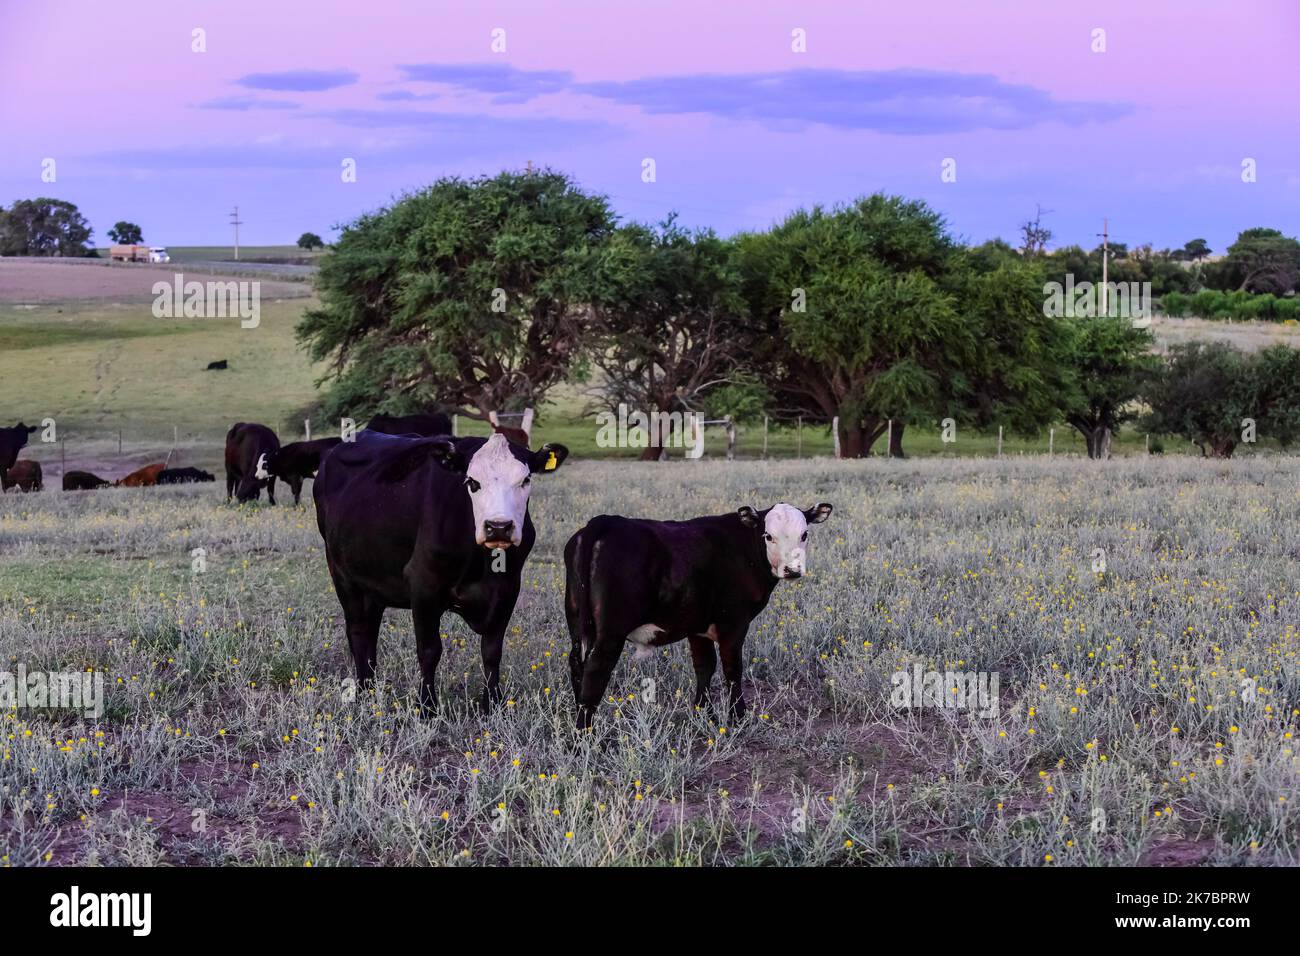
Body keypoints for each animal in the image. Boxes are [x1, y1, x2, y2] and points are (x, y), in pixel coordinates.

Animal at [314, 431, 569, 713]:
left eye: (525, 480)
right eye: (472, 482)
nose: (498, 527)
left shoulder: (508, 587)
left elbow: (492, 650)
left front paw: (492, 703)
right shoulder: (423, 585)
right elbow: (429, 650)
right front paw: (427, 707)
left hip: (373, 585)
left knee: (370, 632)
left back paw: (369, 689)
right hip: (343, 575)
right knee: (358, 632)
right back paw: (362, 694)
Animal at [563, 501, 834, 730]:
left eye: (804, 534)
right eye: (769, 536)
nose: (792, 570)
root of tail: (606, 521)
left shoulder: (697, 625)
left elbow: (704, 666)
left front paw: (704, 714)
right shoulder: (733, 623)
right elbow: (732, 670)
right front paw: (738, 718)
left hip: (577, 623)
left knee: (577, 663)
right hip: (611, 633)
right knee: (596, 670)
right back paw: (584, 737)